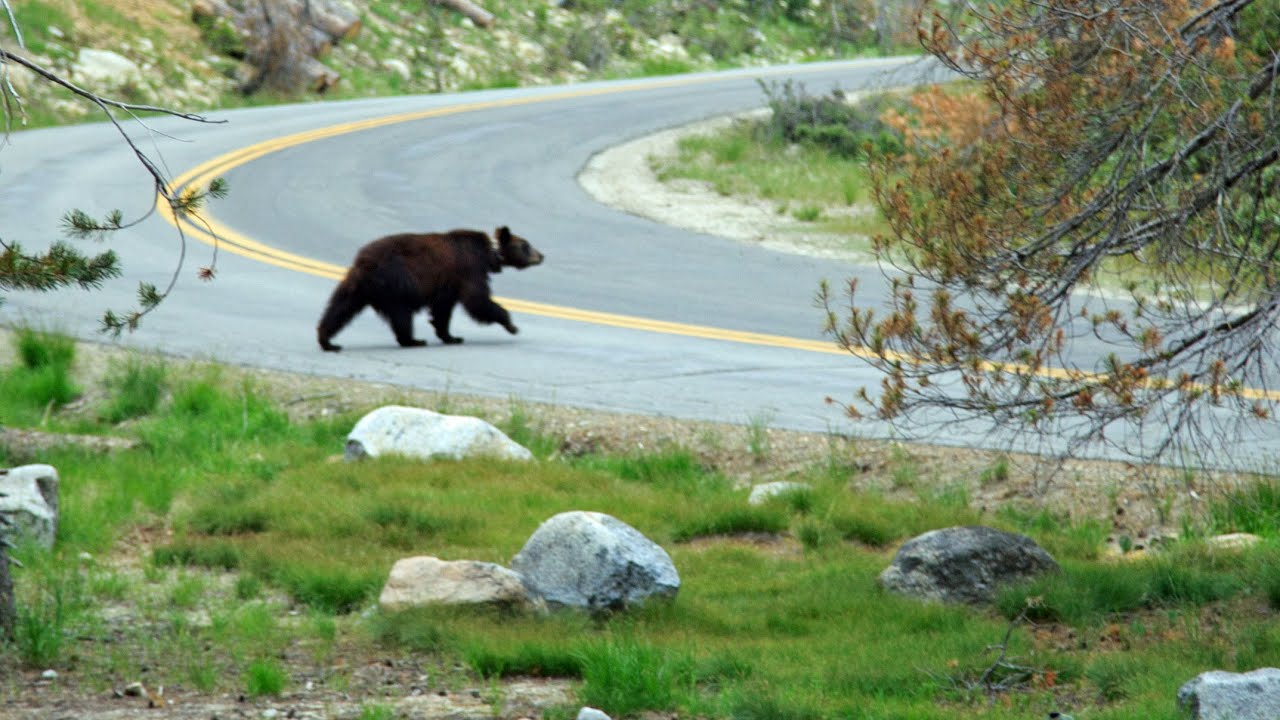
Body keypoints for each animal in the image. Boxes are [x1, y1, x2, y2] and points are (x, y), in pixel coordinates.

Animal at [317, 226, 544, 352]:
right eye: (526, 245)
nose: (541, 255)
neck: (490, 254)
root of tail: (364, 265)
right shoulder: (469, 268)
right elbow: (477, 300)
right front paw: (511, 324)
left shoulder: (449, 284)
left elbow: (443, 309)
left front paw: (451, 336)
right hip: (398, 282)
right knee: (402, 315)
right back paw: (413, 340)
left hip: (355, 287)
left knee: (339, 308)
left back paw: (327, 341)